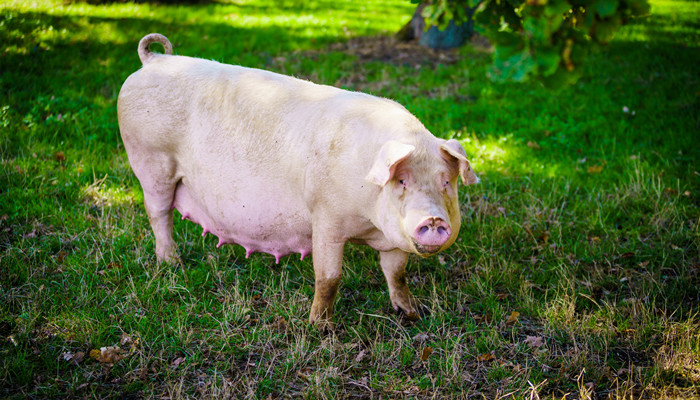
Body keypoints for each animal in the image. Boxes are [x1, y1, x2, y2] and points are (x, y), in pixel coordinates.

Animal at [117, 32, 478, 324]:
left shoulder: (393, 237)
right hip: (151, 162)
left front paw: (413, 314)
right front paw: (320, 327)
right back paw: (172, 263)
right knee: (158, 213)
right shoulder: (326, 216)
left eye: (446, 182)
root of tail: (153, 60)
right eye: (402, 182)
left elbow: (397, 273)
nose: (433, 219)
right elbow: (329, 277)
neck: (369, 223)